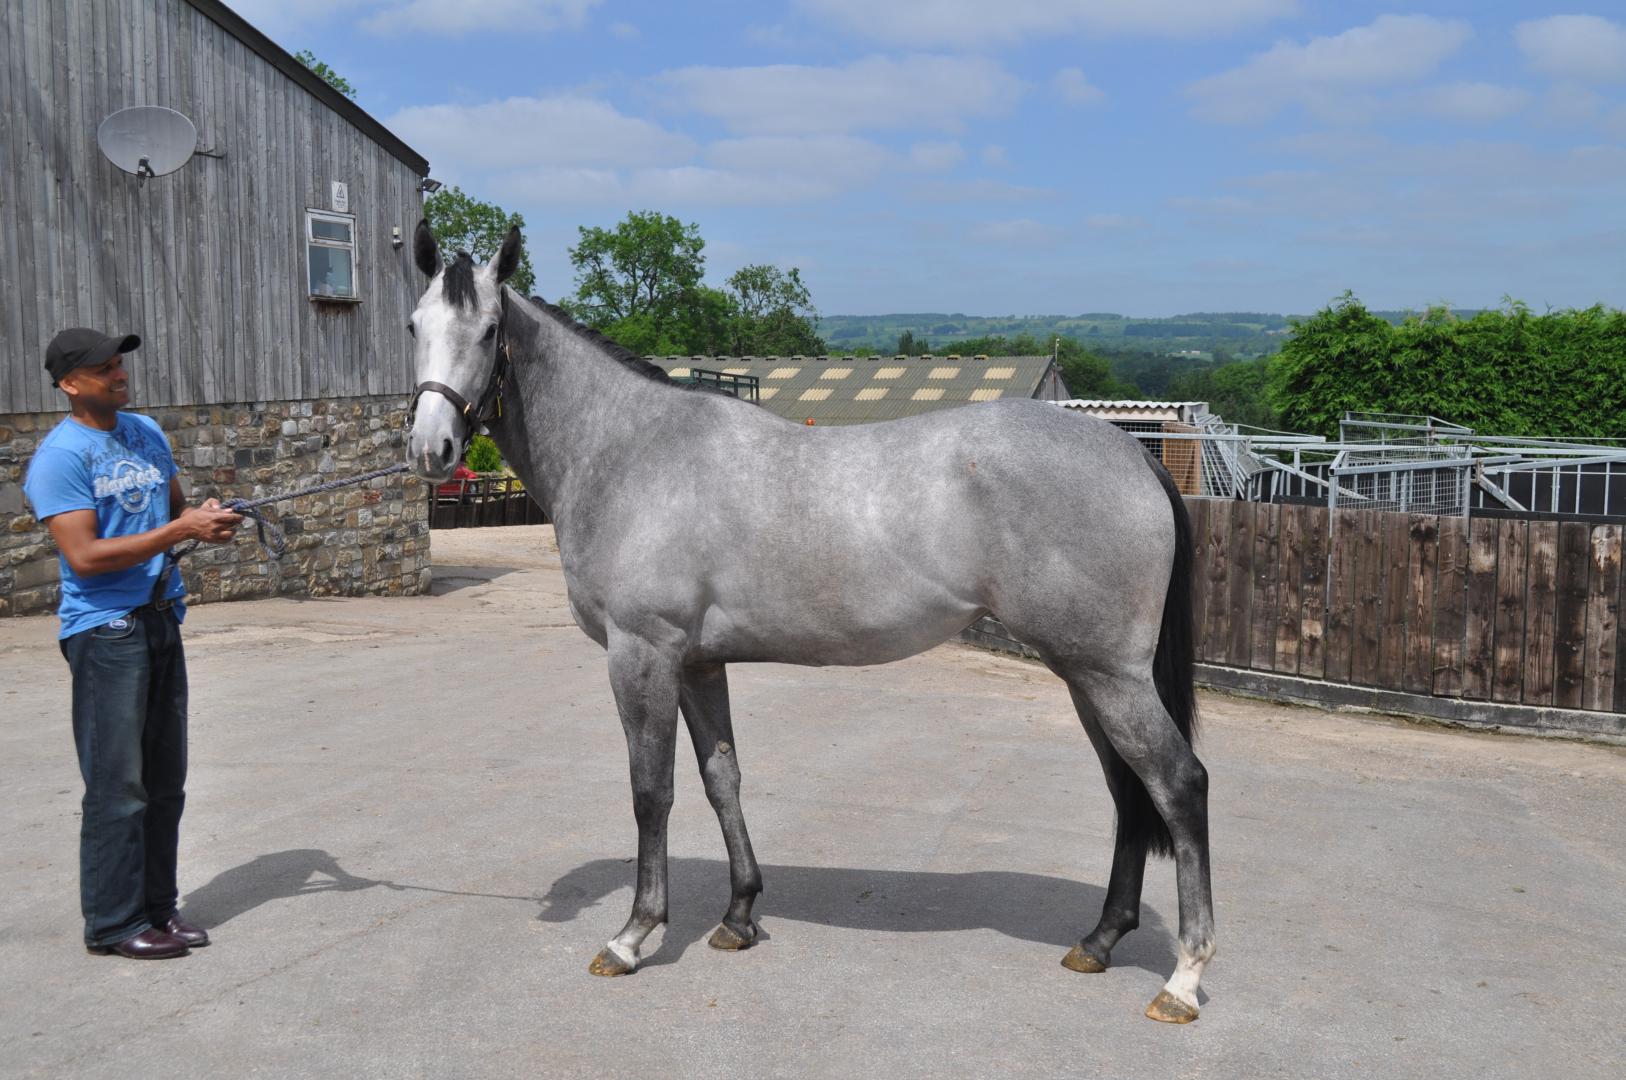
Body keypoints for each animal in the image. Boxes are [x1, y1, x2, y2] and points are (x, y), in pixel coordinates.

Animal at [404, 223, 1215, 1023]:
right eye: (415, 325)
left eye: (488, 330)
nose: (431, 450)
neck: (632, 452)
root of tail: (1131, 455)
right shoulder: (697, 663)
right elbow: (721, 778)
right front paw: (738, 917)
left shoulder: (642, 655)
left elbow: (650, 791)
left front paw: (634, 936)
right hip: (1086, 675)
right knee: (1128, 790)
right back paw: (1100, 941)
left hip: (1109, 675)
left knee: (1178, 783)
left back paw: (1183, 979)